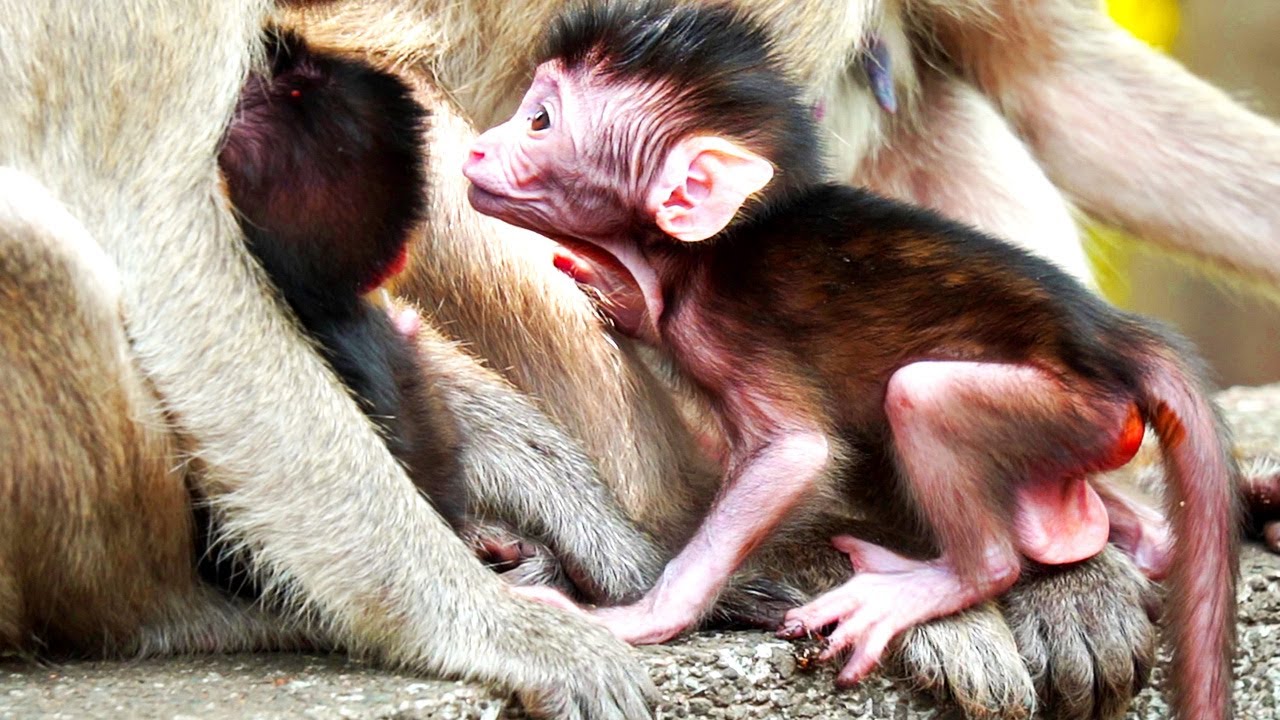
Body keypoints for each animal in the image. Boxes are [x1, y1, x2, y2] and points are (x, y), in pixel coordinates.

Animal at [460, 3, 1240, 719]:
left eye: (539, 121)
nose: (475, 152)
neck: (709, 248)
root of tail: (1110, 336)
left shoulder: (724, 328)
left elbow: (794, 453)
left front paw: (649, 616)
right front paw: (615, 286)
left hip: (1074, 408)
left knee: (923, 401)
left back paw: (941, 582)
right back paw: (1121, 537)